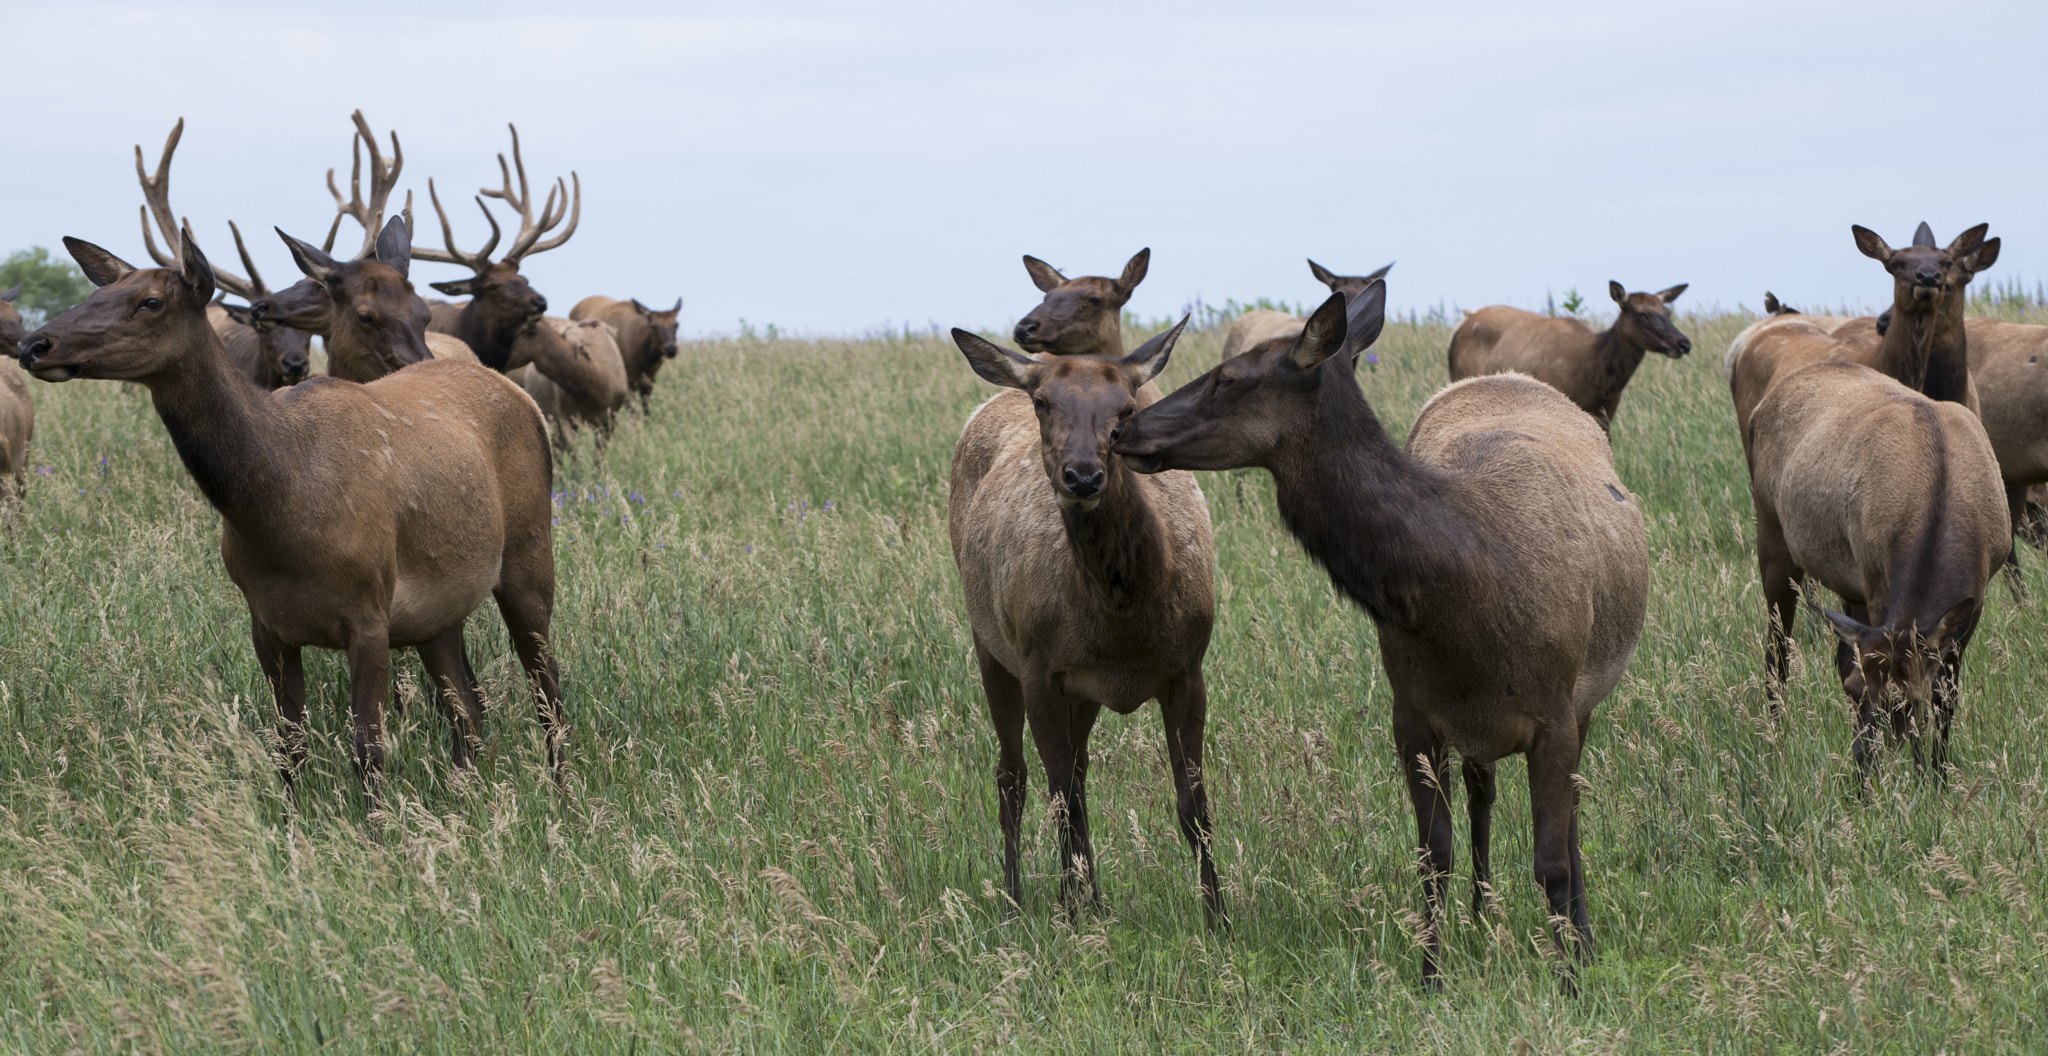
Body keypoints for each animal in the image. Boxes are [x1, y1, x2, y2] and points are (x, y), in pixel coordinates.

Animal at [16, 228, 569, 805]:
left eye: (150, 301)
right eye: (96, 292)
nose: (34, 345)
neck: (283, 516)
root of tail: (518, 392)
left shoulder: (370, 612)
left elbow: (368, 751)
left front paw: (376, 828)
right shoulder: (266, 623)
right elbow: (288, 747)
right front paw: (292, 823)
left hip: (529, 555)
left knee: (547, 687)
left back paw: (564, 798)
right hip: (439, 610)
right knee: (469, 707)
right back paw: (465, 797)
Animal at [948, 316, 1224, 924]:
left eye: (1126, 407)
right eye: (1044, 403)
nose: (1081, 476)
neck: (1124, 624)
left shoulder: (1189, 667)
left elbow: (1193, 804)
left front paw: (1219, 915)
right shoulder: (1040, 668)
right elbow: (1061, 801)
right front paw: (1072, 916)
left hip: (1082, 694)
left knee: (1077, 769)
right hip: (990, 641)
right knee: (1014, 777)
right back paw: (1017, 897)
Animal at [1113, 286, 1649, 990]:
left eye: (1226, 378)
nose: (1122, 428)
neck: (1470, 600)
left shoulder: (1556, 711)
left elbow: (1552, 860)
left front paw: (1572, 978)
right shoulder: (1413, 714)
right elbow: (1433, 853)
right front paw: (1431, 976)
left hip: (1585, 696)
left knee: (1570, 821)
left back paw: (1574, 936)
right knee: (1482, 795)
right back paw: (1482, 918)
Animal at [1746, 359, 2007, 780]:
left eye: (1906, 702)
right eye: (1854, 691)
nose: (1863, 770)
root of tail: (1760, 407)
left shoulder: (1974, 604)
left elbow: (1945, 698)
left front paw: (1936, 776)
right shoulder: (1876, 583)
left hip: (1846, 581)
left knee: (1833, 651)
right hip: (1771, 531)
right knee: (1776, 648)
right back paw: (1775, 738)